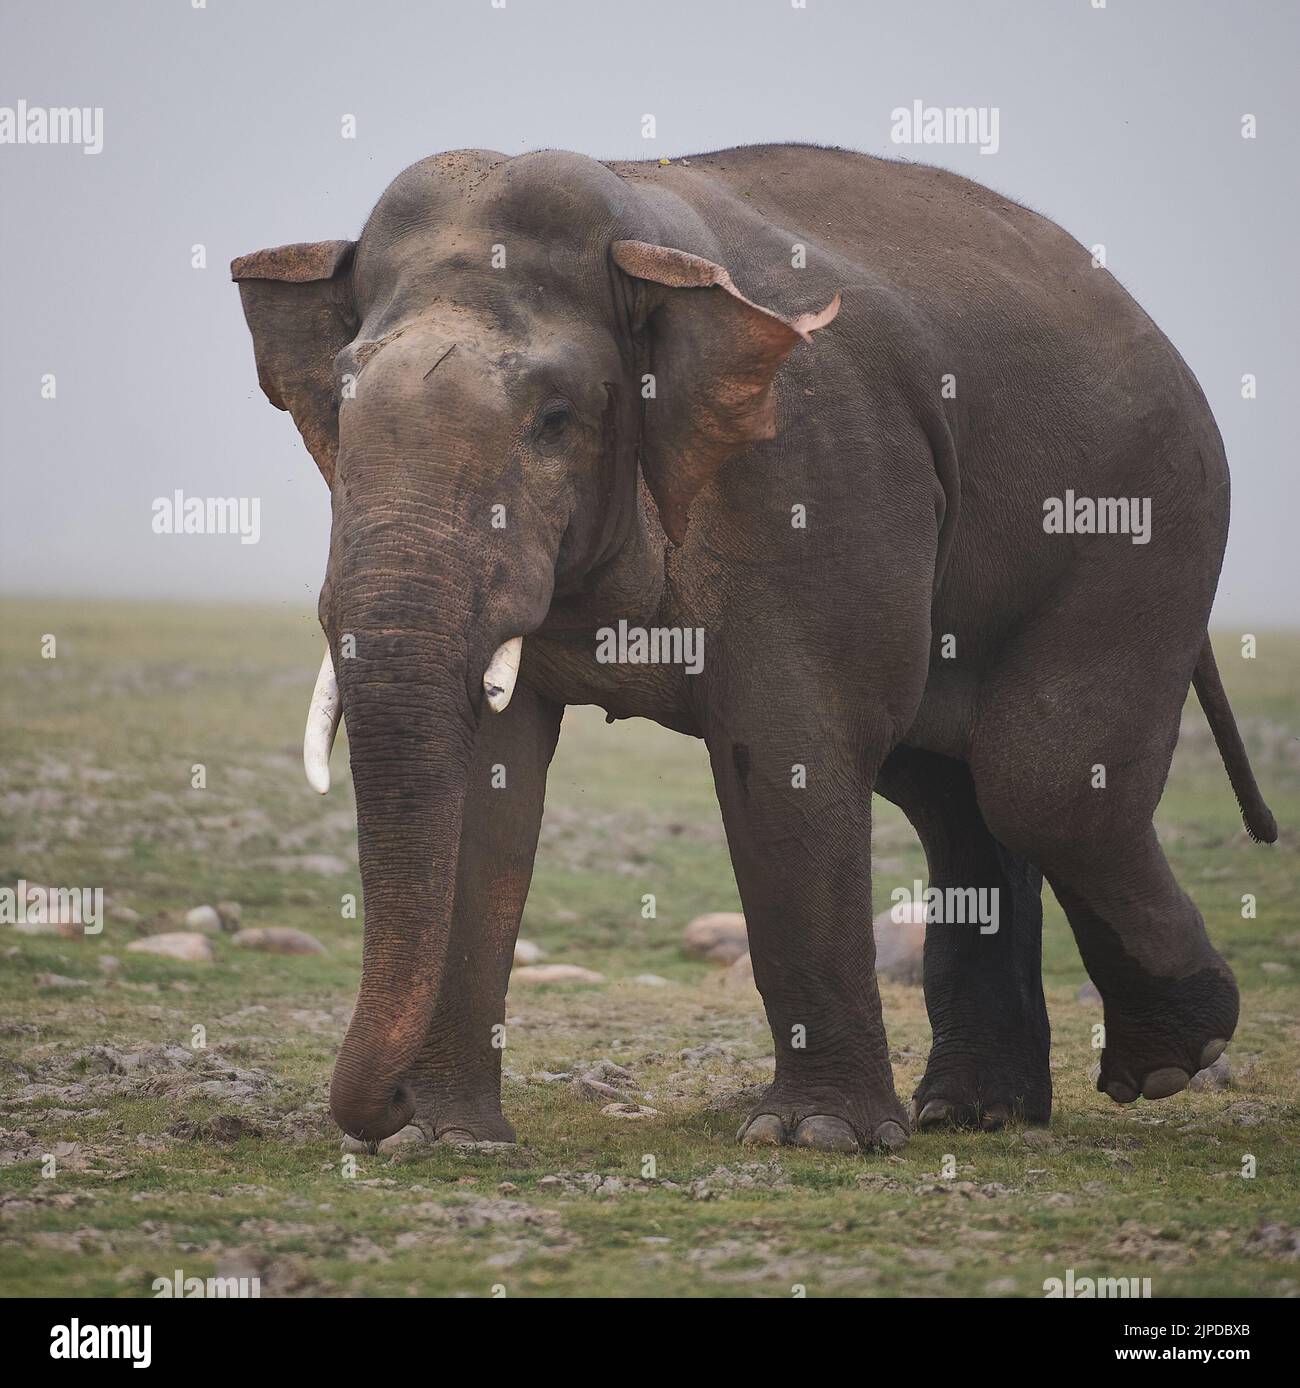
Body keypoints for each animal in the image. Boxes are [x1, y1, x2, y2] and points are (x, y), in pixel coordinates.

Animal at [232, 143, 1276, 1154]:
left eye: (555, 419)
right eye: (340, 413)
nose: (380, 1112)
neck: (640, 235)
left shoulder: (814, 476)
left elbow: (788, 750)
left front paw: (814, 1137)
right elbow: (490, 785)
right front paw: (444, 1143)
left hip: (1145, 524)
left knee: (1042, 784)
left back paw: (1171, 1060)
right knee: (956, 796)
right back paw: (979, 1113)